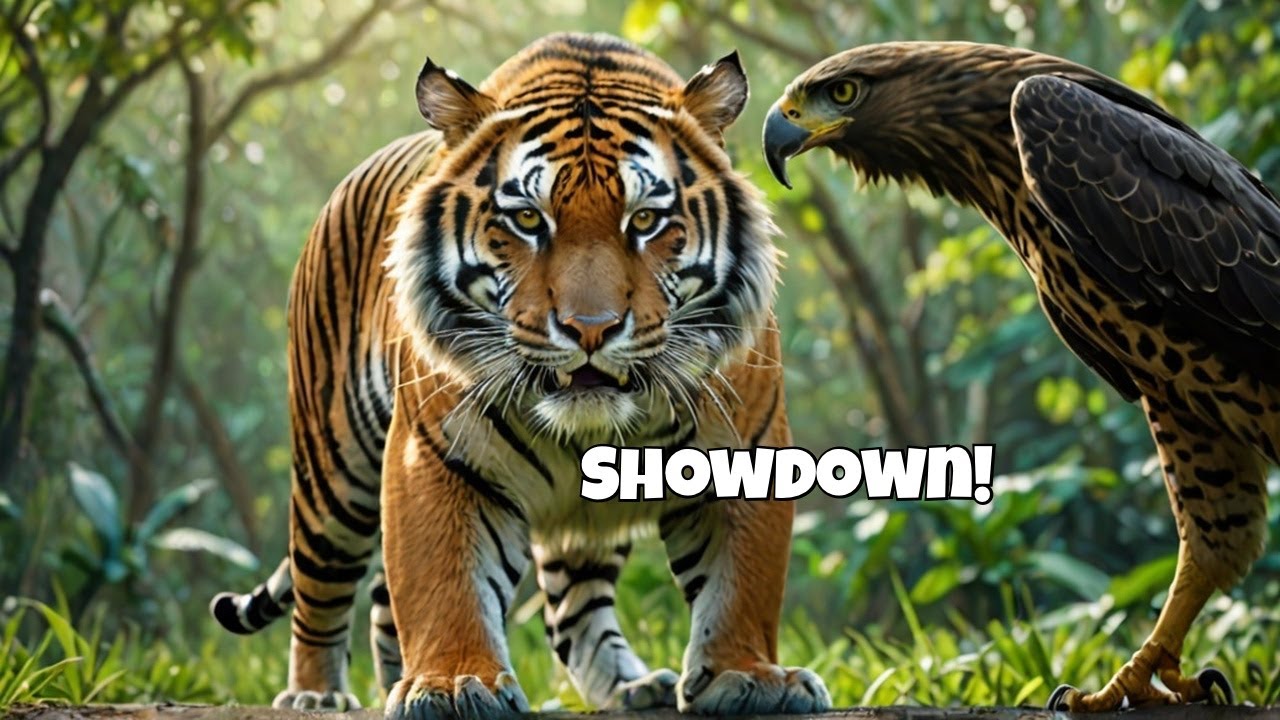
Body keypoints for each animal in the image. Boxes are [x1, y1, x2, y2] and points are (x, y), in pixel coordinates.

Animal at [208, 32, 831, 719]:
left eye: (644, 221)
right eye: (529, 220)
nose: (590, 329)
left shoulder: (749, 443)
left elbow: (743, 578)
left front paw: (747, 676)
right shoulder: (434, 454)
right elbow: (442, 578)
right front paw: (455, 682)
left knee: (565, 610)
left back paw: (632, 688)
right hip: (334, 472)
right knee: (322, 588)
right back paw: (316, 694)